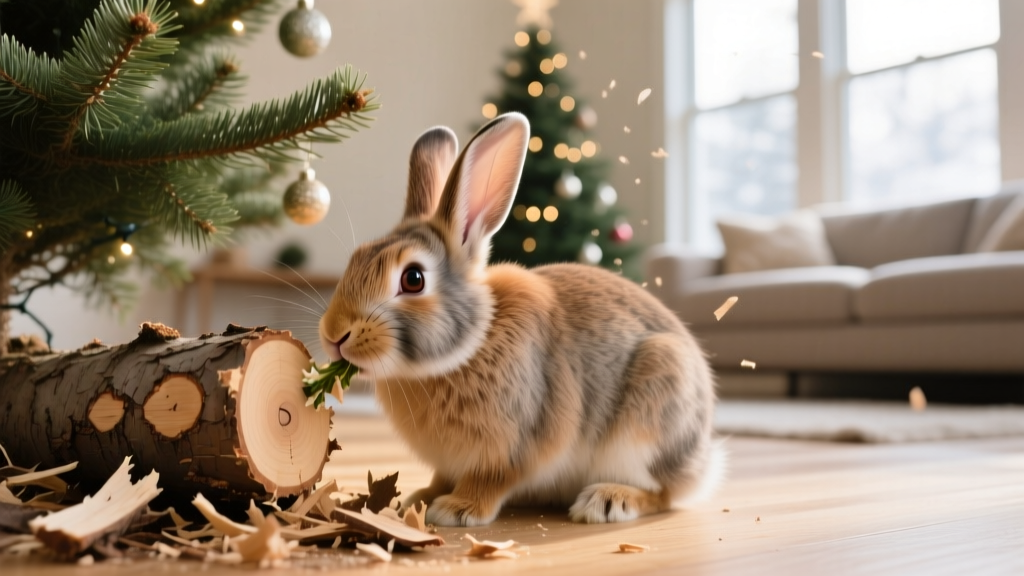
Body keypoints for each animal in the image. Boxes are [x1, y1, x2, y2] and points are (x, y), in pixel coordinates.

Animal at [319, 112, 721, 526]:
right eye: (357, 258)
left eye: (413, 279)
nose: (334, 335)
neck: (470, 346)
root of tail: (702, 461)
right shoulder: (449, 461)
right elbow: (441, 477)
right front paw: (422, 497)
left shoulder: (518, 442)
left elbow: (493, 479)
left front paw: (456, 509)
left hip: (650, 419)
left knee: (663, 492)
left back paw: (608, 501)